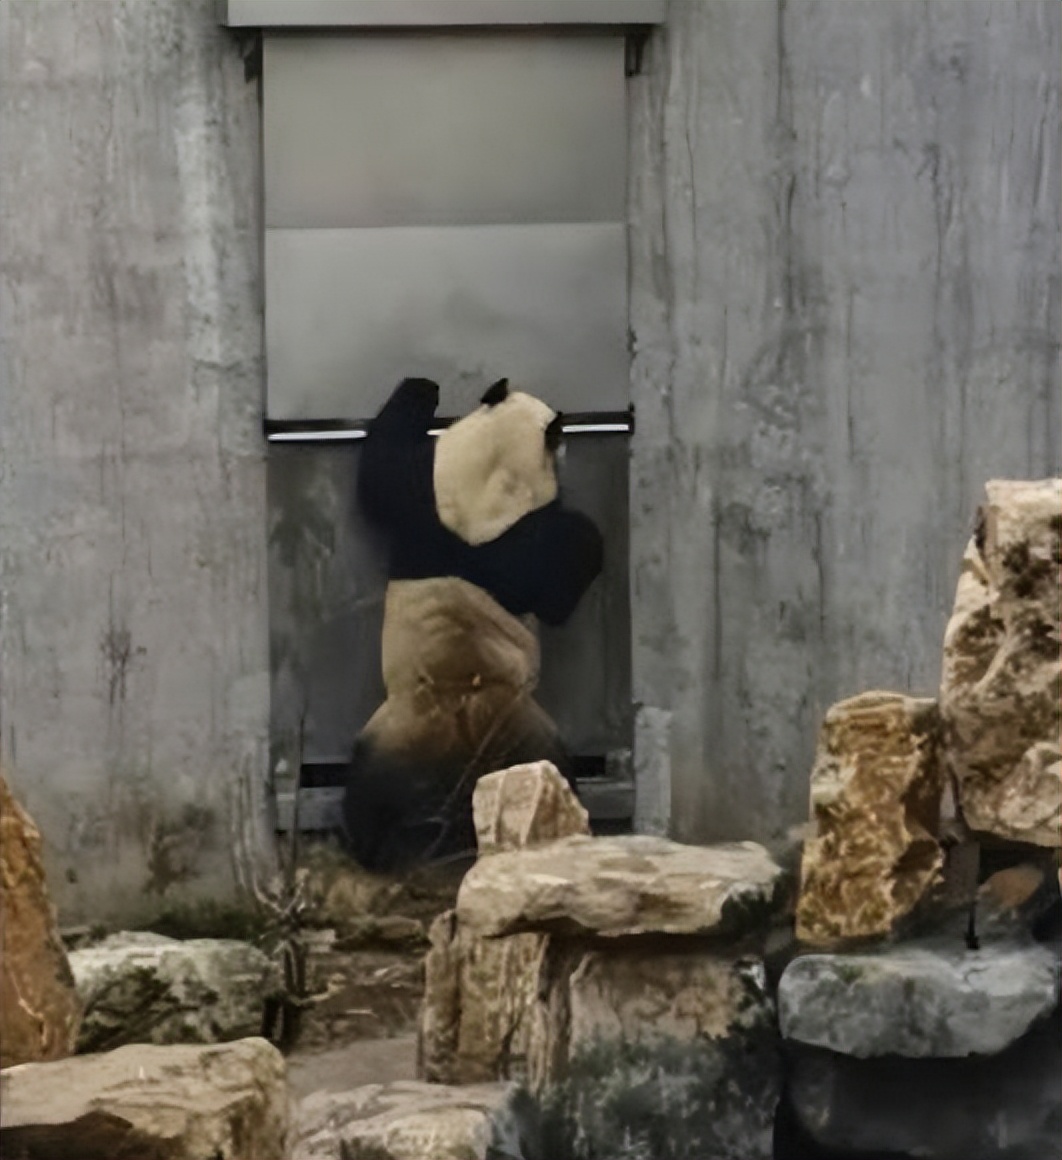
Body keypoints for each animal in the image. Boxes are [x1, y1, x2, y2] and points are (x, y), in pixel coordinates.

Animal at [341, 377, 603, 872]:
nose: (568, 449)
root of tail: (462, 718)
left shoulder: (422, 499)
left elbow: (380, 477)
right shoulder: (507, 530)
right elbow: (558, 589)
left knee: (368, 793)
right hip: (470, 724)